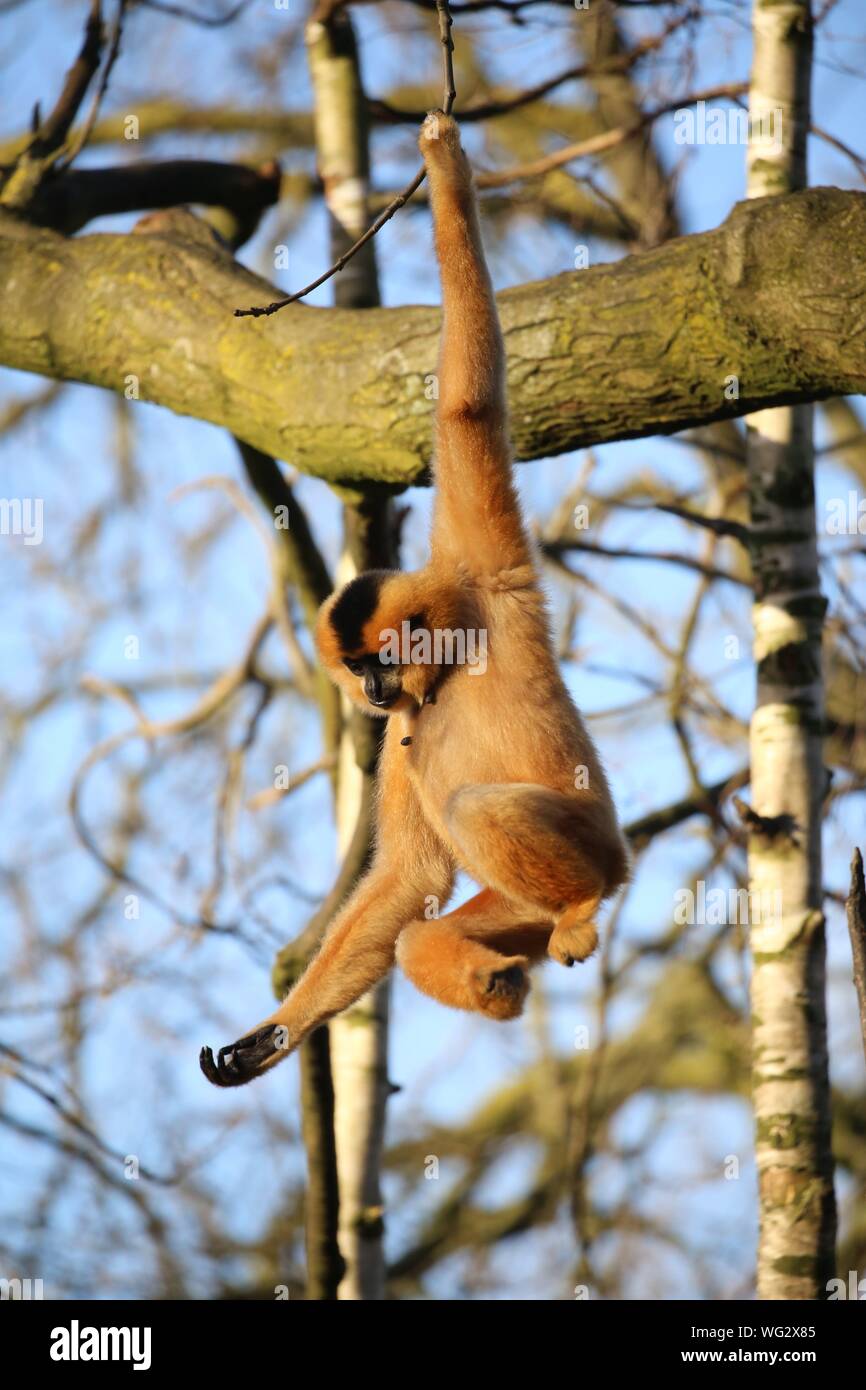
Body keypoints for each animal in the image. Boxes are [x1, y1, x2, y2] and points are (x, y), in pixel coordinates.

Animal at [200, 111, 629, 1088]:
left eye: (375, 659)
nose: (366, 690)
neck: (458, 650)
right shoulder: (401, 720)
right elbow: (408, 882)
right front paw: (271, 1035)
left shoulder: (489, 569)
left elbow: (468, 406)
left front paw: (444, 164)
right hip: (507, 904)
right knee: (421, 933)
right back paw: (494, 978)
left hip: (594, 842)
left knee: (480, 812)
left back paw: (580, 907)